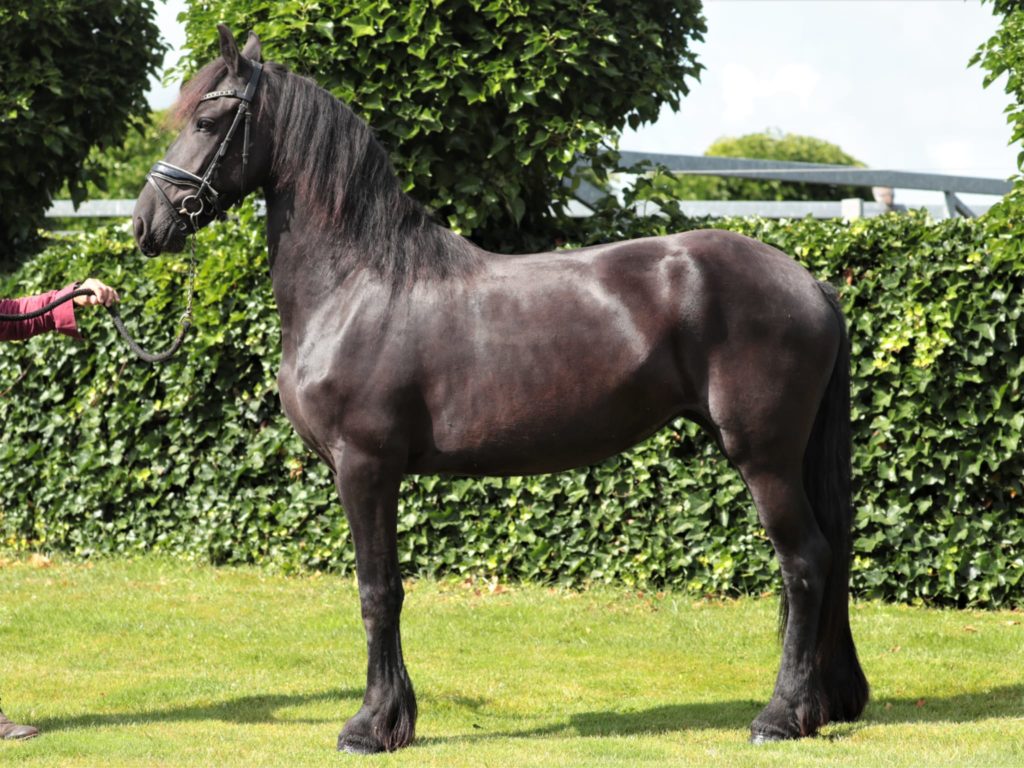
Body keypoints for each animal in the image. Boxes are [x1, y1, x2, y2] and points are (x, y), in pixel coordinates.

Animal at [132, 25, 868, 753]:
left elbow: (378, 591)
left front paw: (371, 726)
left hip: (764, 457)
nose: (145, 224)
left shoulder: (365, 467)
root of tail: (813, 284)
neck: (358, 283)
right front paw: (394, 718)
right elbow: (387, 590)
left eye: (207, 120)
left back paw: (780, 716)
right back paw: (825, 703)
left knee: (805, 563)